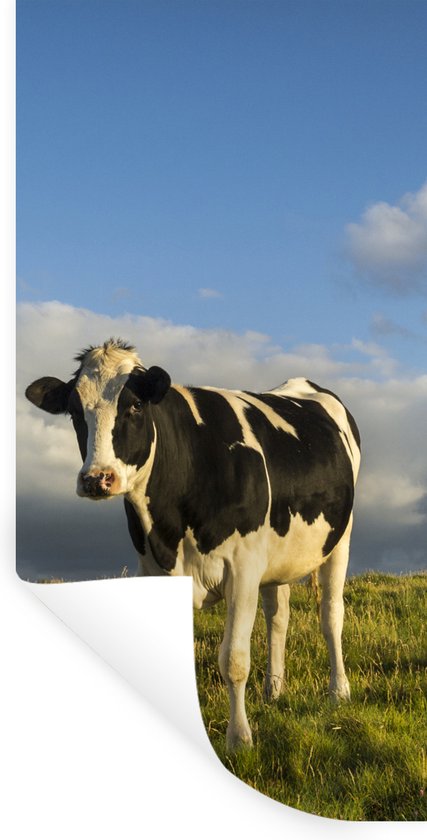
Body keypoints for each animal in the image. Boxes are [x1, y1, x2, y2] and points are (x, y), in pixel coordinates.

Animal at [26, 338, 361, 751]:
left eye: (135, 406)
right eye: (75, 412)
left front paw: (239, 738)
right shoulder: (153, 569)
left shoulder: (243, 569)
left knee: (331, 615)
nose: (97, 479)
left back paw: (338, 691)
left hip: (340, 539)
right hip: (278, 553)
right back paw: (274, 690)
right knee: (278, 616)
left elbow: (234, 660)